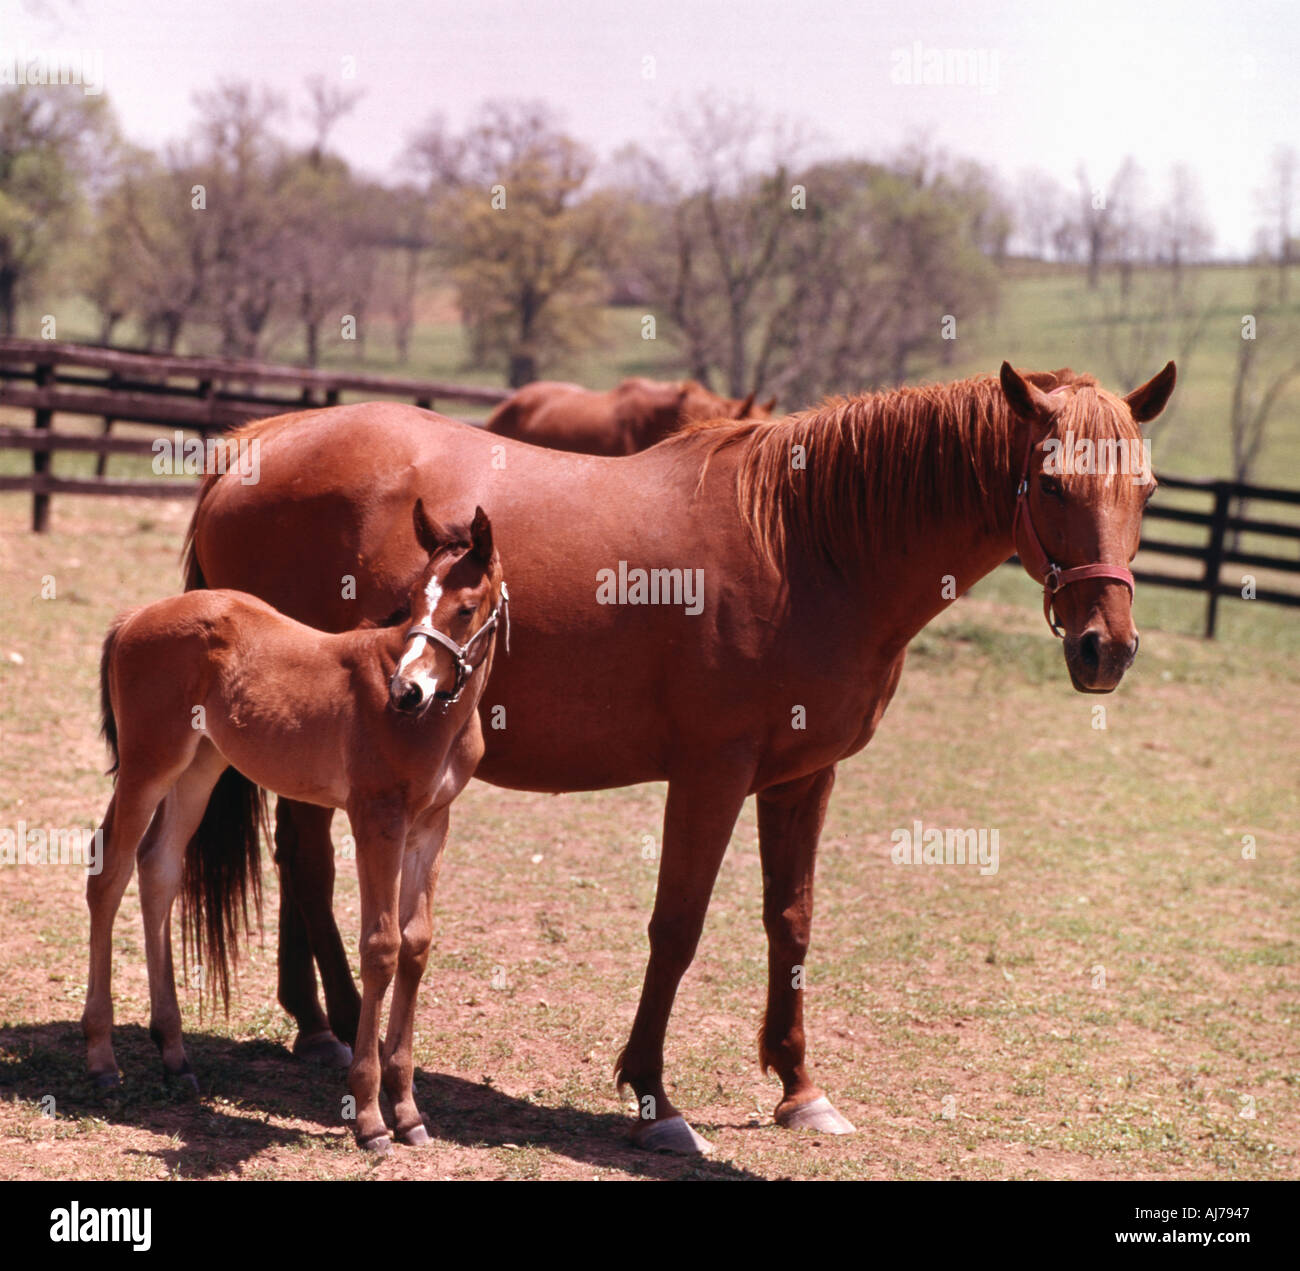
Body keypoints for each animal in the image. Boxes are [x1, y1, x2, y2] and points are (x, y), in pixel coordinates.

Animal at [84, 501, 507, 1152]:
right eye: (412, 600)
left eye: (465, 608)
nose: (406, 692)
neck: (435, 722)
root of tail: (137, 616)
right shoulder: (376, 818)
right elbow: (381, 947)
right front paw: (370, 1116)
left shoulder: (432, 826)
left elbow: (415, 945)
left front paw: (409, 1111)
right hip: (148, 765)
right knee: (108, 873)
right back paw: (103, 1063)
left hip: (201, 766)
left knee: (159, 868)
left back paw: (176, 1058)